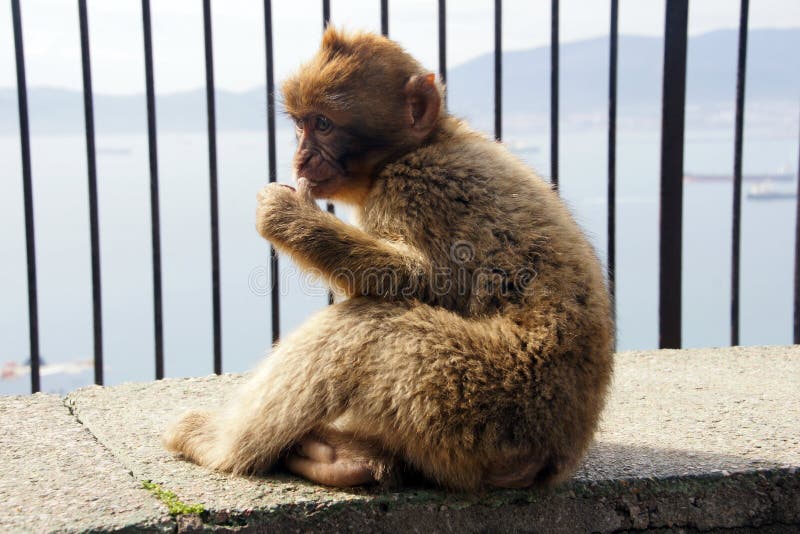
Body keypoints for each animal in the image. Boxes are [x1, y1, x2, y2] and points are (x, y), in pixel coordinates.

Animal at [163, 27, 614, 492]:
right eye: (301, 125)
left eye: (323, 124)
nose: (301, 157)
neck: (421, 145)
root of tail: (548, 460)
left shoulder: (416, 187)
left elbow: (424, 279)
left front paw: (286, 215)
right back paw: (349, 459)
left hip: (472, 396)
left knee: (365, 330)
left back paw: (221, 445)